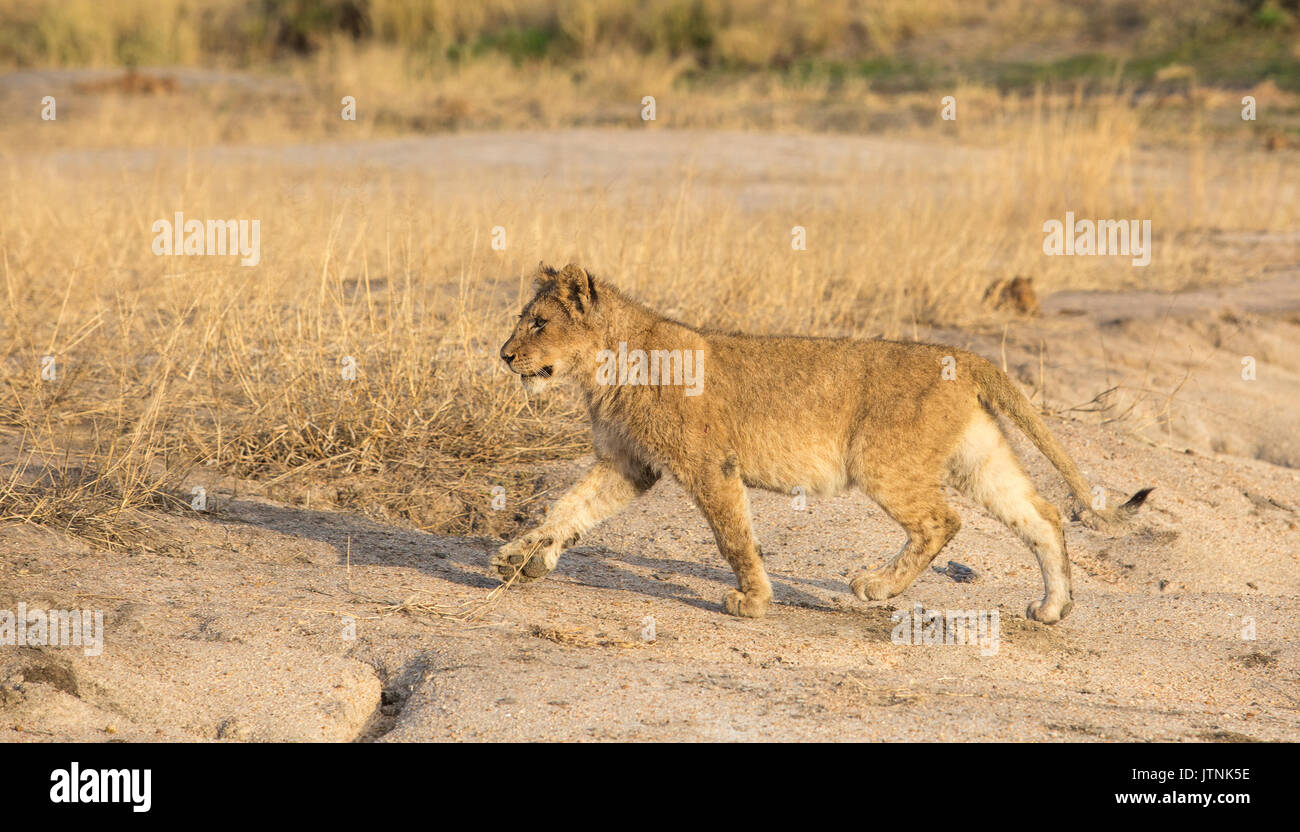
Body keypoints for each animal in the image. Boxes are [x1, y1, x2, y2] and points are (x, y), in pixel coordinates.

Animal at [493, 264, 1151, 623]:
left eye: (539, 323)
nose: (502, 355)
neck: (605, 367)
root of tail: (962, 355)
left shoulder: (709, 465)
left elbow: (733, 538)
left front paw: (753, 600)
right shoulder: (628, 463)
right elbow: (568, 508)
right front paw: (521, 559)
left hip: (880, 460)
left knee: (941, 521)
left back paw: (876, 586)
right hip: (977, 455)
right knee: (1041, 516)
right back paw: (1052, 609)